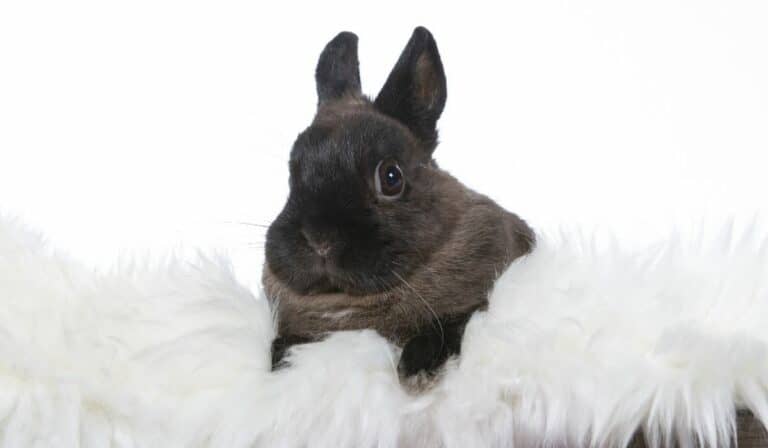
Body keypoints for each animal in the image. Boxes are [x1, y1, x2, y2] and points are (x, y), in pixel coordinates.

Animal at [263, 27, 534, 382]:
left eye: (391, 177)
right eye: (293, 175)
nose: (319, 239)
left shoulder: (477, 301)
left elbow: (450, 325)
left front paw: (416, 369)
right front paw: (281, 360)